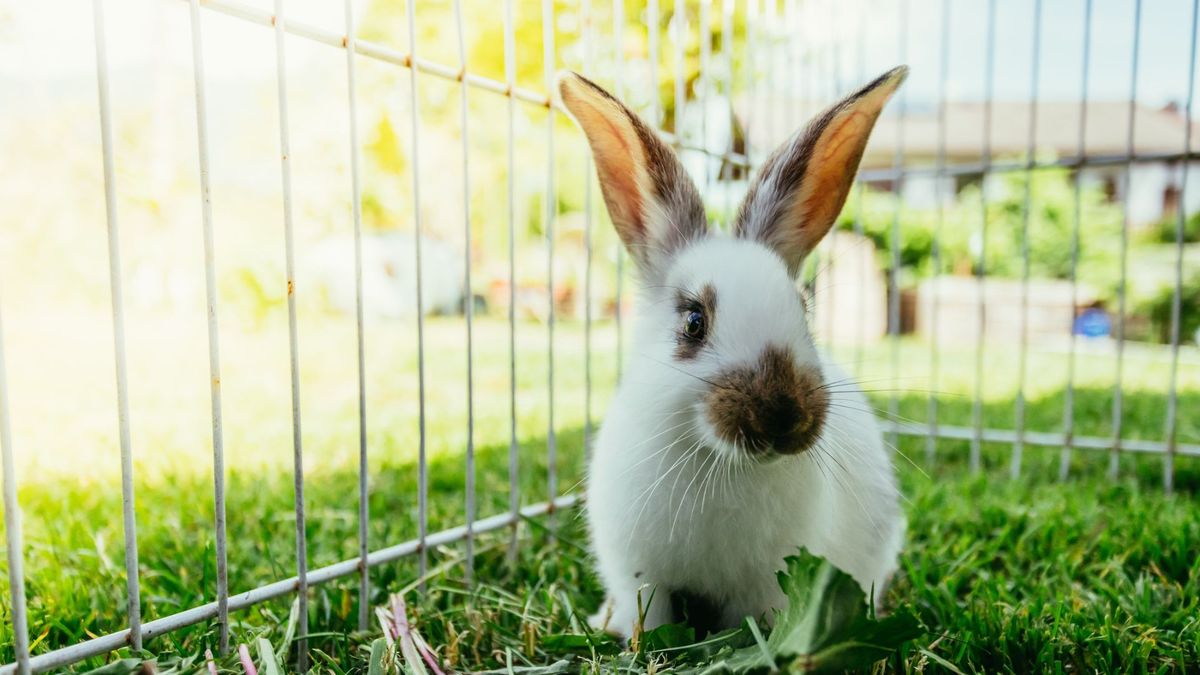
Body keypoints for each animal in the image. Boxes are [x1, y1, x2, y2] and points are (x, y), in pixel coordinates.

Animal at [556, 65, 909, 639]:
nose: (783, 417)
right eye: (694, 322)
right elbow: (648, 615)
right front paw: (636, 638)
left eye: (804, 309)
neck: (718, 462)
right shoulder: (638, 572)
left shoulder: (767, 582)